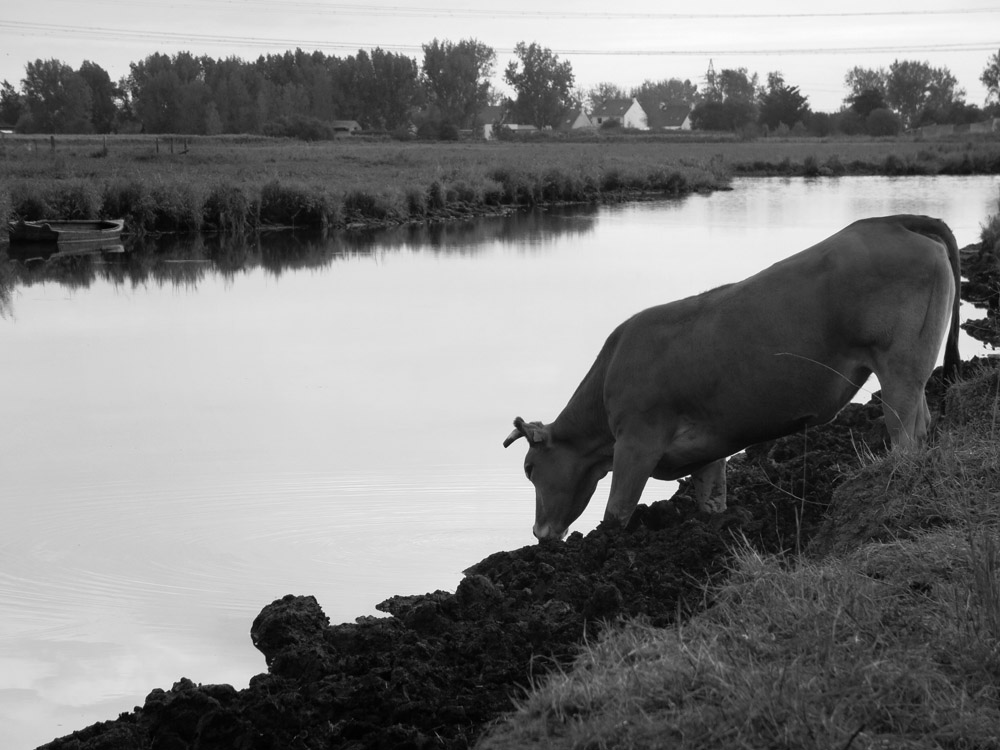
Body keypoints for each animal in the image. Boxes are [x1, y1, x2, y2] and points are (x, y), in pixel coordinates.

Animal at [504, 215, 961, 541]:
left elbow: (616, 514)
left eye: (528, 467)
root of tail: (892, 221)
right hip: (912, 371)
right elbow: (712, 500)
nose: (539, 534)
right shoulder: (709, 450)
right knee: (923, 423)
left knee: (906, 436)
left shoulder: (636, 440)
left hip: (898, 368)